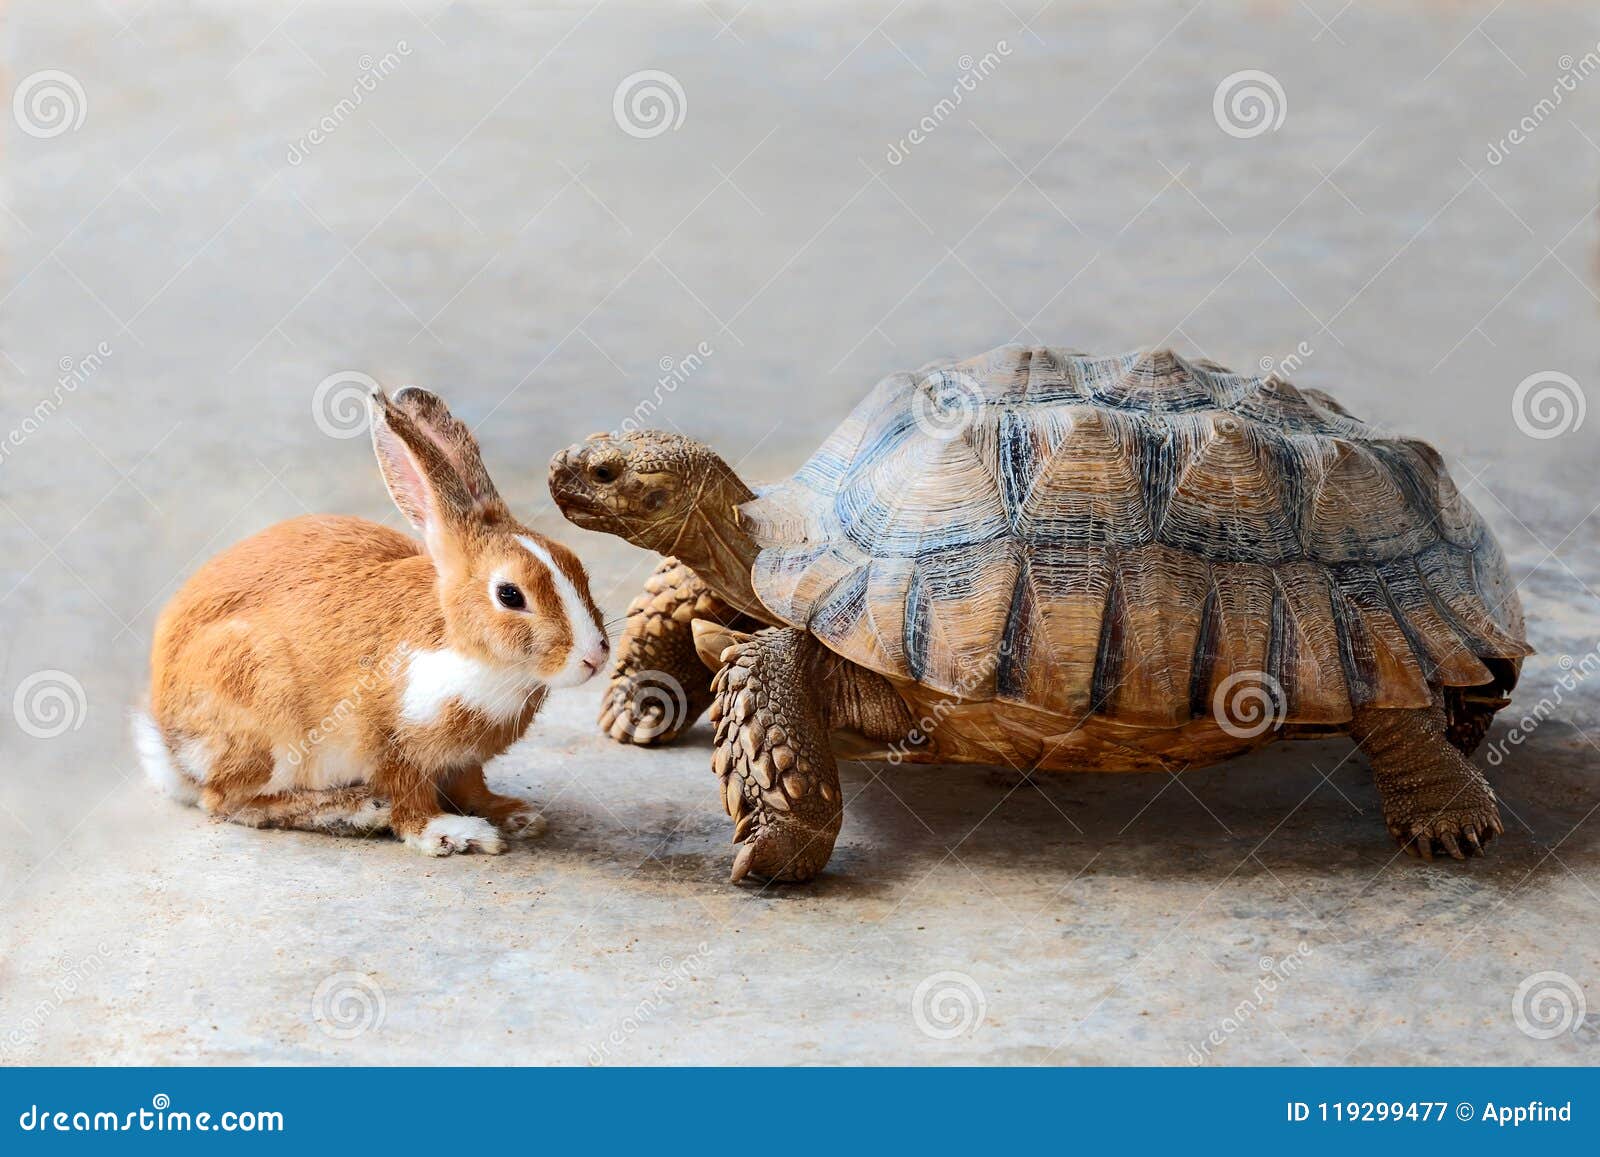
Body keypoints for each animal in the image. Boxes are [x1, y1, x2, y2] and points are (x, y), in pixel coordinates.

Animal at [134, 386, 608, 855]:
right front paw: (451, 834)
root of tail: (170, 746)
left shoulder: (464, 761)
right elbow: (409, 800)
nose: (595, 658)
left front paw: (514, 816)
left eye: (577, 565)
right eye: (510, 595)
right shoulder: (387, 744)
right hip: (264, 717)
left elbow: (474, 788)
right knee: (228, 800)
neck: (468, 650)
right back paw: (354, 810)